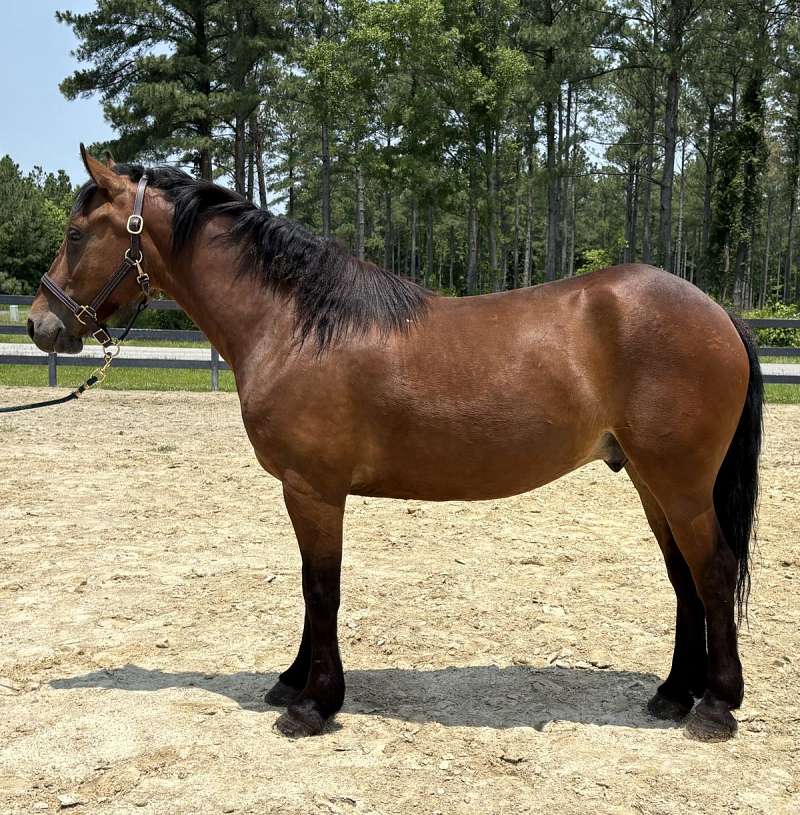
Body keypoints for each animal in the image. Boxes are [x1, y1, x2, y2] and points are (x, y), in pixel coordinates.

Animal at [26, 146, 762, 741]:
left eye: (74, 233)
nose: (40, 324)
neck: (296, 325)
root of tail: (717, 311)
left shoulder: (313, 490)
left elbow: (321, 588)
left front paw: (313, 704)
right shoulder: (308, 491)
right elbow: (309, 587)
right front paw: (293, 682)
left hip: (680, 483)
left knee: (712, 570)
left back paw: (716, 706)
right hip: (648, 479)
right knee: (683, 579)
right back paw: (672, 694)